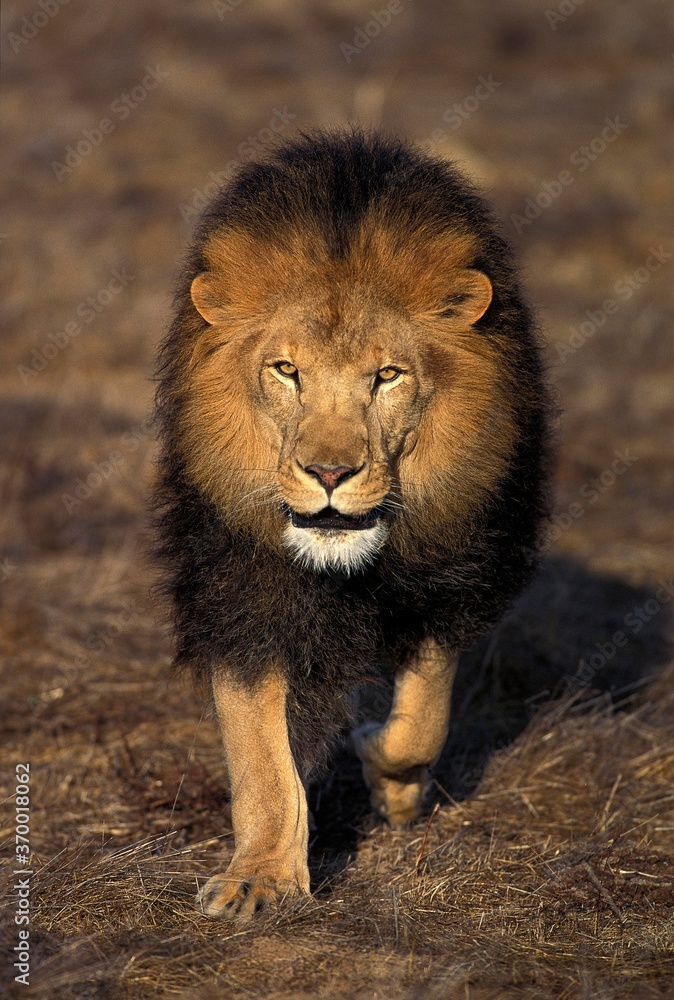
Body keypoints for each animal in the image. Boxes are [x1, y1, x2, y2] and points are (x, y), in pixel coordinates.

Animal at [154, 129, 550, 921]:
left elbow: (421, 721)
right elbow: (262, 760)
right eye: (285, 370)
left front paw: (385, 773)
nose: (330, 474)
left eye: (387, 376)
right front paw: (261, 878)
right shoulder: (244, 598)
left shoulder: (446, 582)